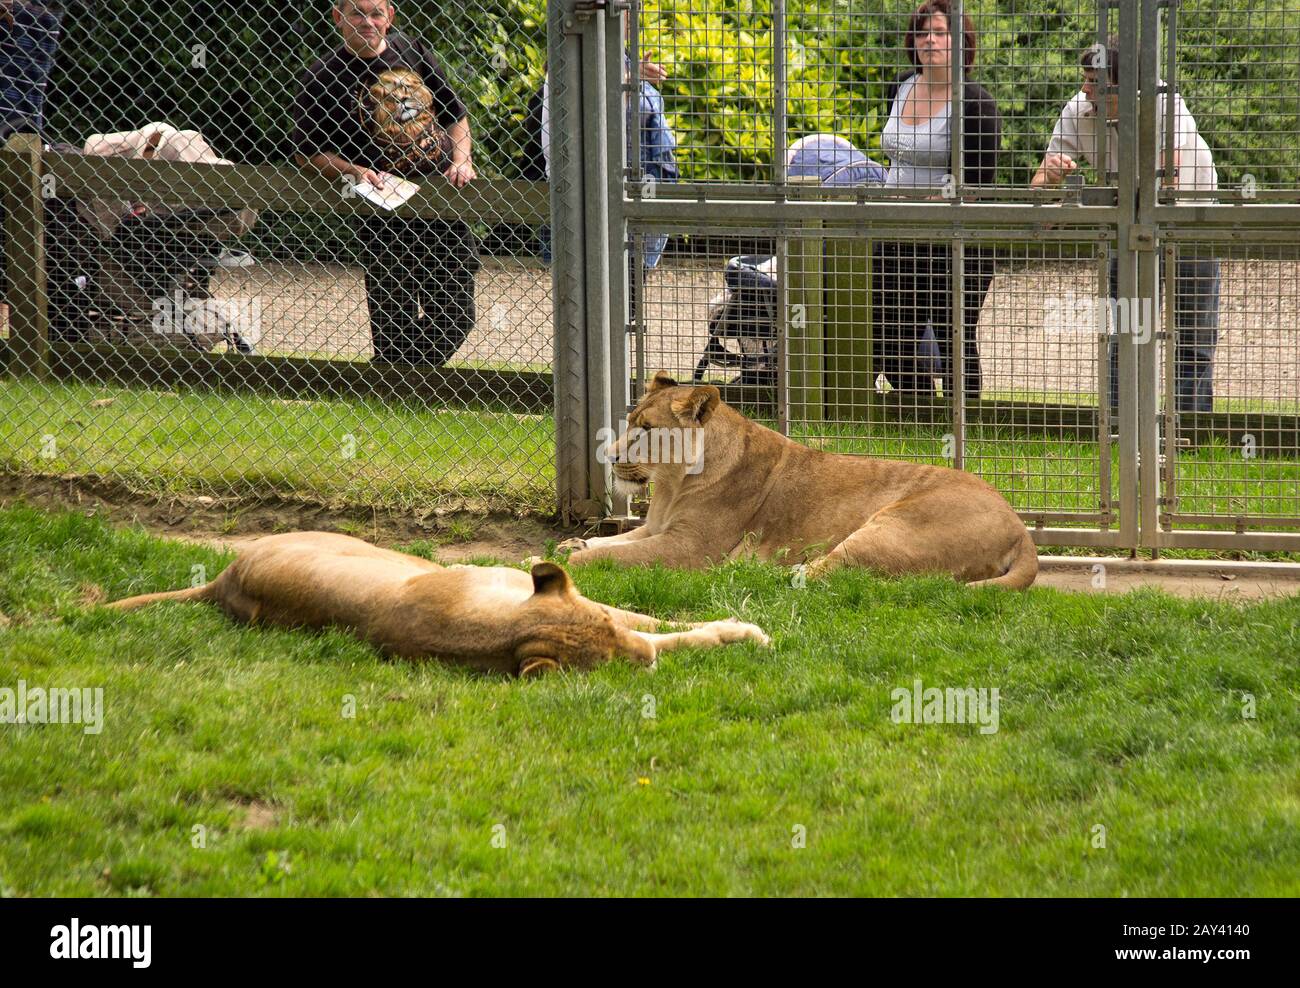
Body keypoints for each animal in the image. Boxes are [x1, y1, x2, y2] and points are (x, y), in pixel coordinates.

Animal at [561, 372, 1038, 589]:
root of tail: (1020, 527)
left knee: (824, 573)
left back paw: (766, 570)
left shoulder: (688, 549)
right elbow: (616, 541)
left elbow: (619, 556)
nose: (611, 455)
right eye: (630, 423)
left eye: (647, 430)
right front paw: (574, 544)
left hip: (888, 528)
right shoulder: (657, 527)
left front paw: (569, 561)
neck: (671, 485)